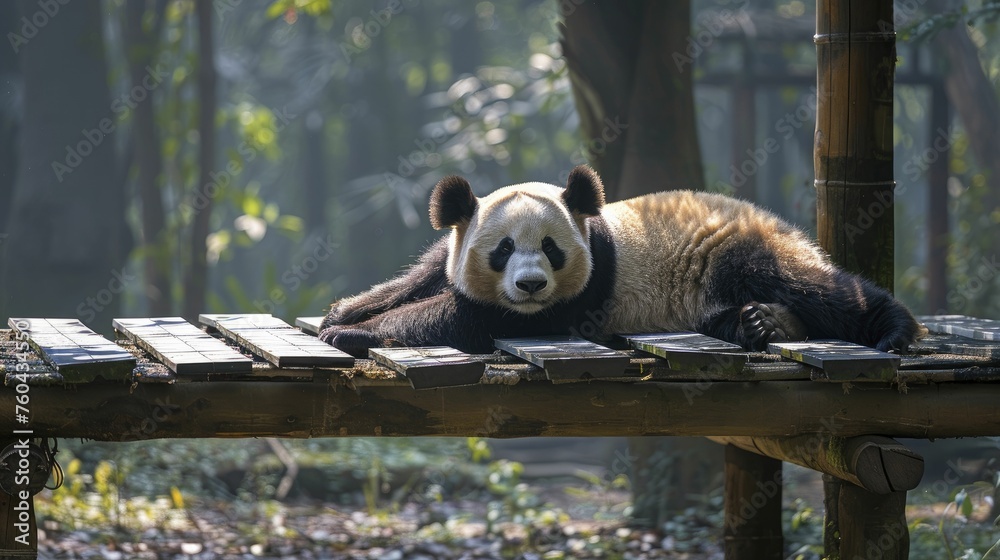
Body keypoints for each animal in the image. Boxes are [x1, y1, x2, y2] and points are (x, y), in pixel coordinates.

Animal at [319, 165, 922, 358]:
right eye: (503, 250)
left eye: (552, 249)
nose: (531, 286)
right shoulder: (450, 247)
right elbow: (421, 280)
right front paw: (344, 313)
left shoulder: (584, 289)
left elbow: (470, 318)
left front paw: (351, 334)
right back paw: (758, 324)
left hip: (732, 247)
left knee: (812, 286)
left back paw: (892, 329)